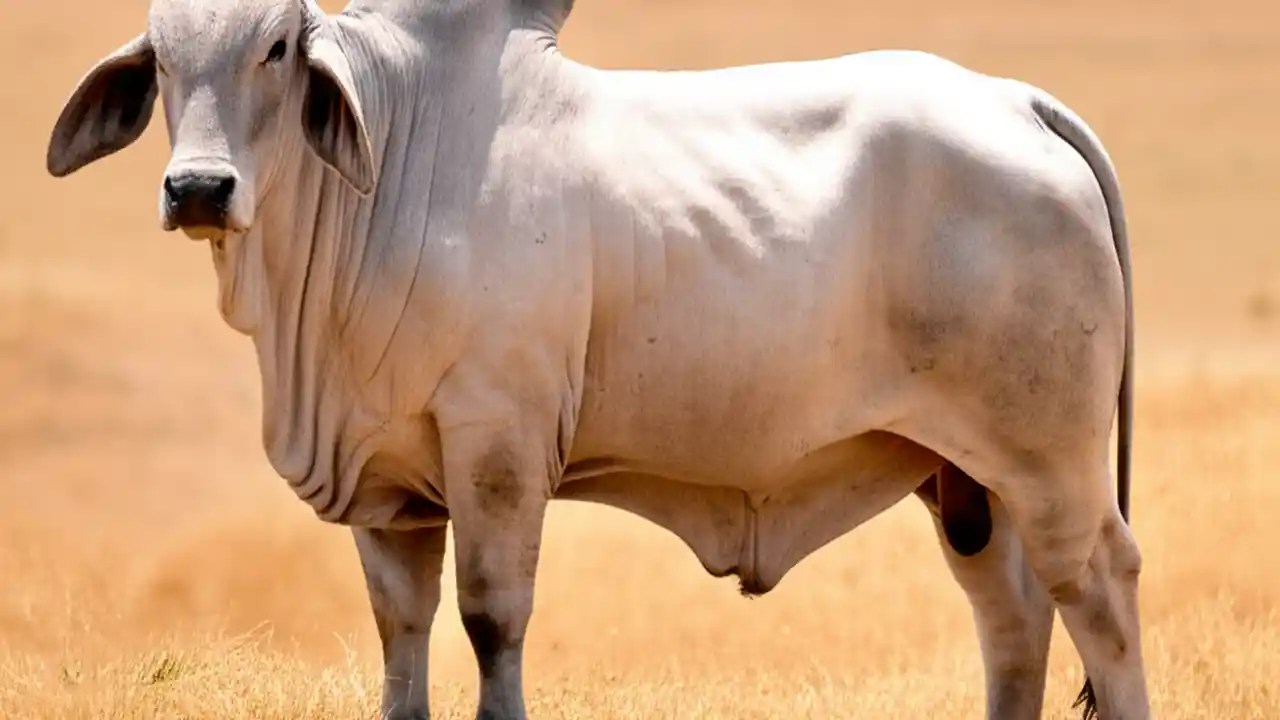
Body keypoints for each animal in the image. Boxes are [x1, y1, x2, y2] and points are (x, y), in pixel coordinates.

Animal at [47, 1, 1145, 718]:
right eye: (161, 61)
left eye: (275, 49)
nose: (198, 188)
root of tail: (1014, 102)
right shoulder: (390, 488)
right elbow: (402, 635)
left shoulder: (497, 445)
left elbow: (492, 622)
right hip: (964, 480)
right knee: (1013, 619)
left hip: (1051, 466)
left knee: (1100, 592)